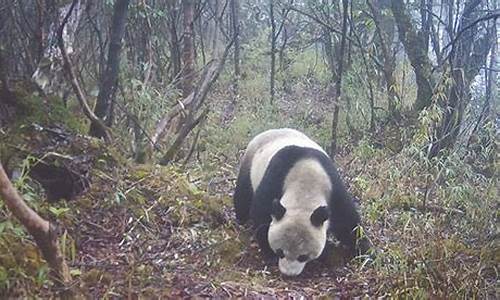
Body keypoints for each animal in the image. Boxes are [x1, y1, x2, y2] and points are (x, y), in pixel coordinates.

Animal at [232, 127, 366, 276]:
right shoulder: (277, 177)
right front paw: (268, 251)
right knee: (244, 194)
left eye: (303, 256)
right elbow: (261, 212)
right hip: (251, 162)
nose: (288, 274)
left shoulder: (333, 186)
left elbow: (349, 223)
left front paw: (363, 252)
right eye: (280, 252)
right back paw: (241, 218)